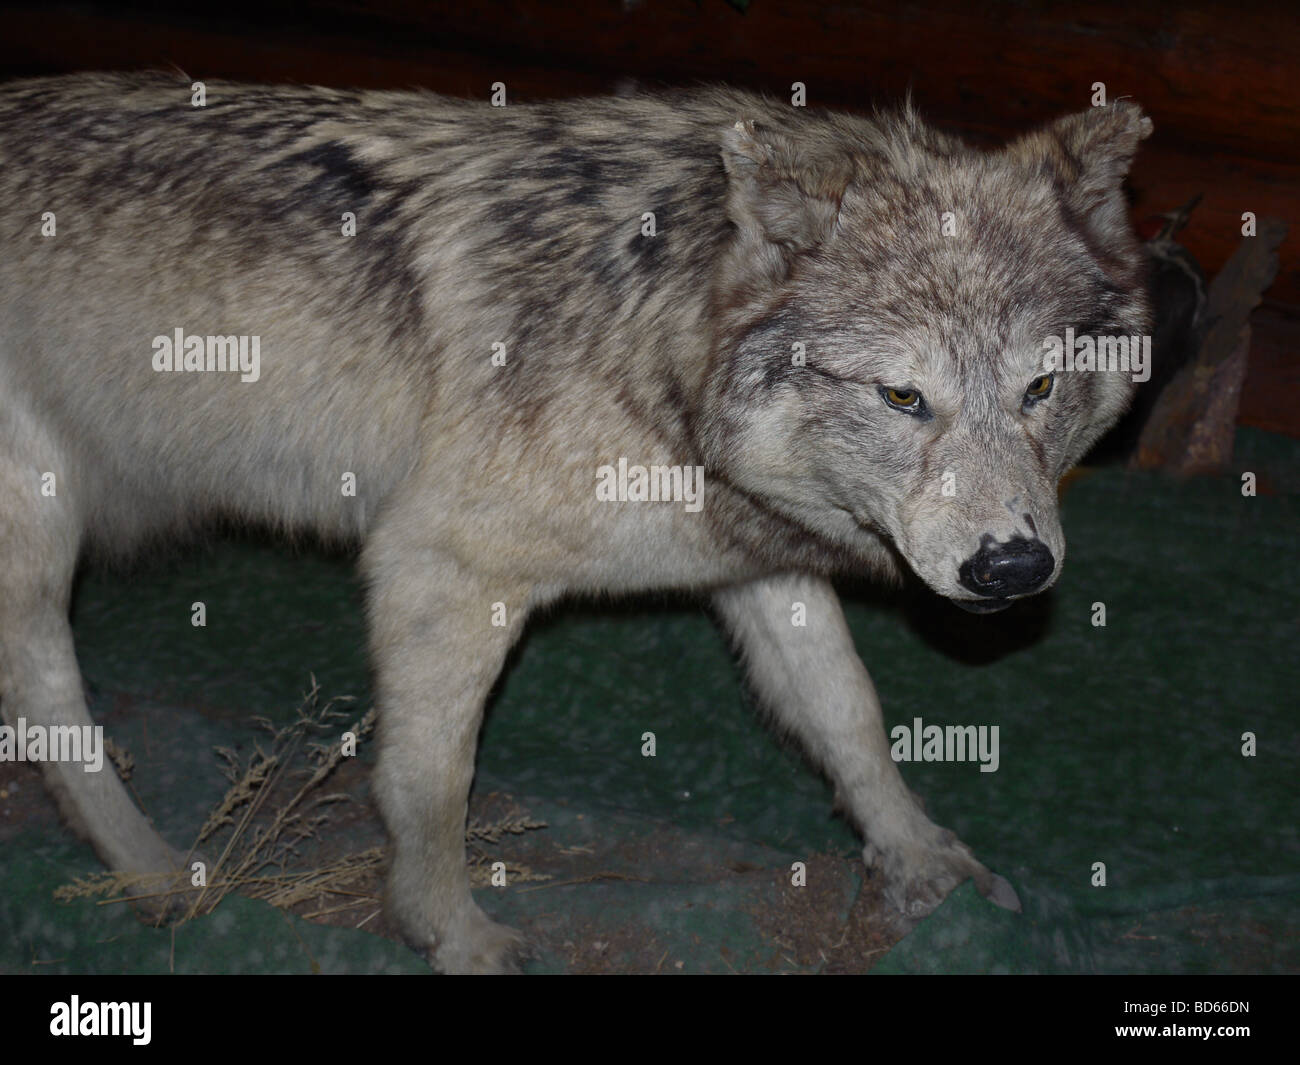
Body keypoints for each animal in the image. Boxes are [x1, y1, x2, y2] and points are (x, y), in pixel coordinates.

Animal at [0, 72, 1150, 972]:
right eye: (904, 398)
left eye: (1040, 388)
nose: (1011, 567)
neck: (654, 343)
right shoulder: (436, 569)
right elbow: (430, 784)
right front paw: (448, 933)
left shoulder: (753, 568)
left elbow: (851, 719)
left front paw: (922, 866)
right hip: (40, 546)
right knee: (51, 711)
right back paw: (154, 875)